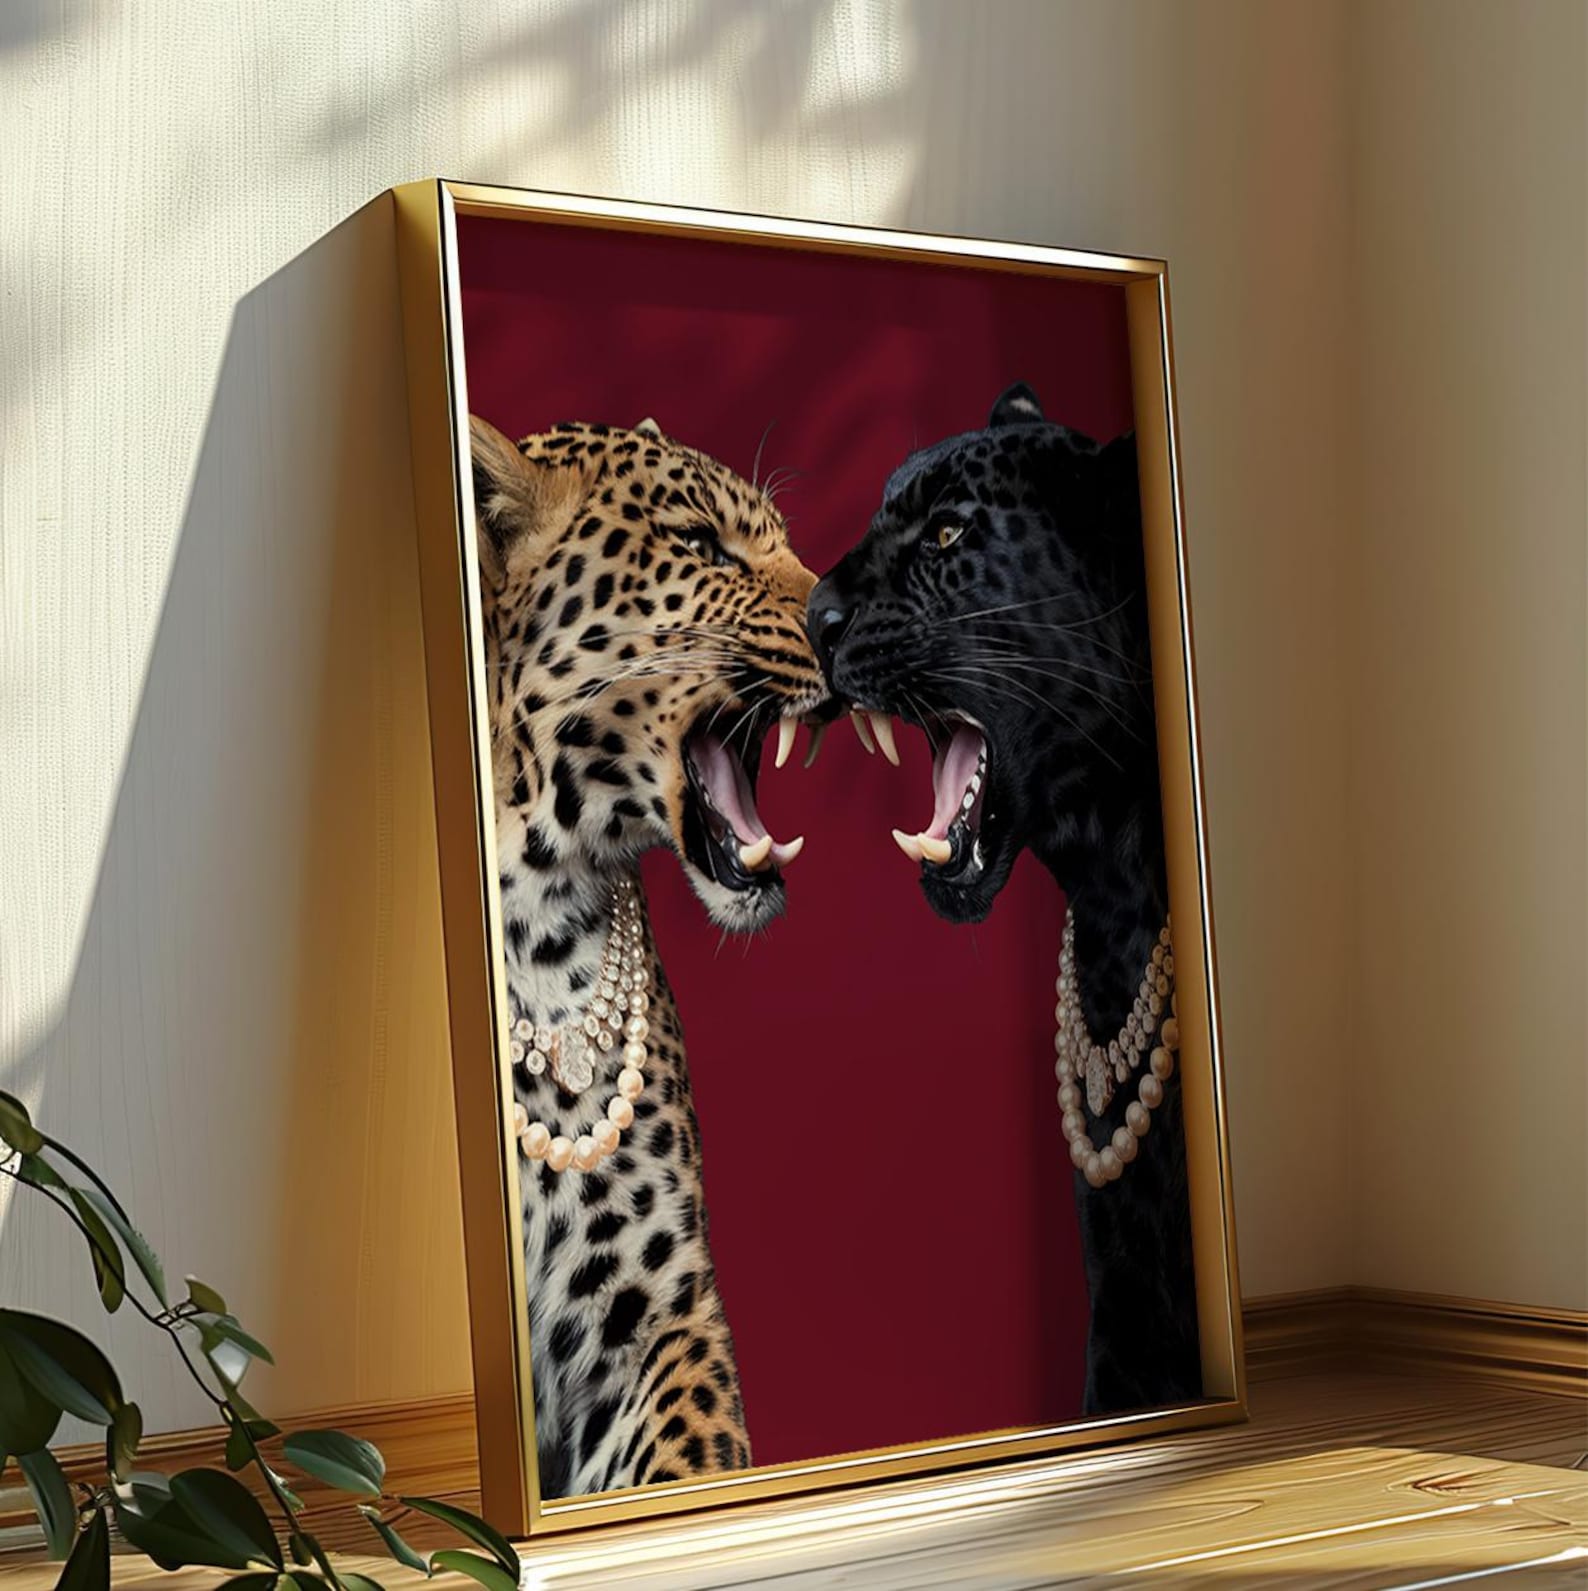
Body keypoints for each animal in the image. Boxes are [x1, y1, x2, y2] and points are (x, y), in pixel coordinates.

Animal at [470, 413, 828, 1498]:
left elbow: (687, 1458)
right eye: (702, 544)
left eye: (780, 536)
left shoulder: (655, 1318)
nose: (848, 611)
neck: (535, 932)